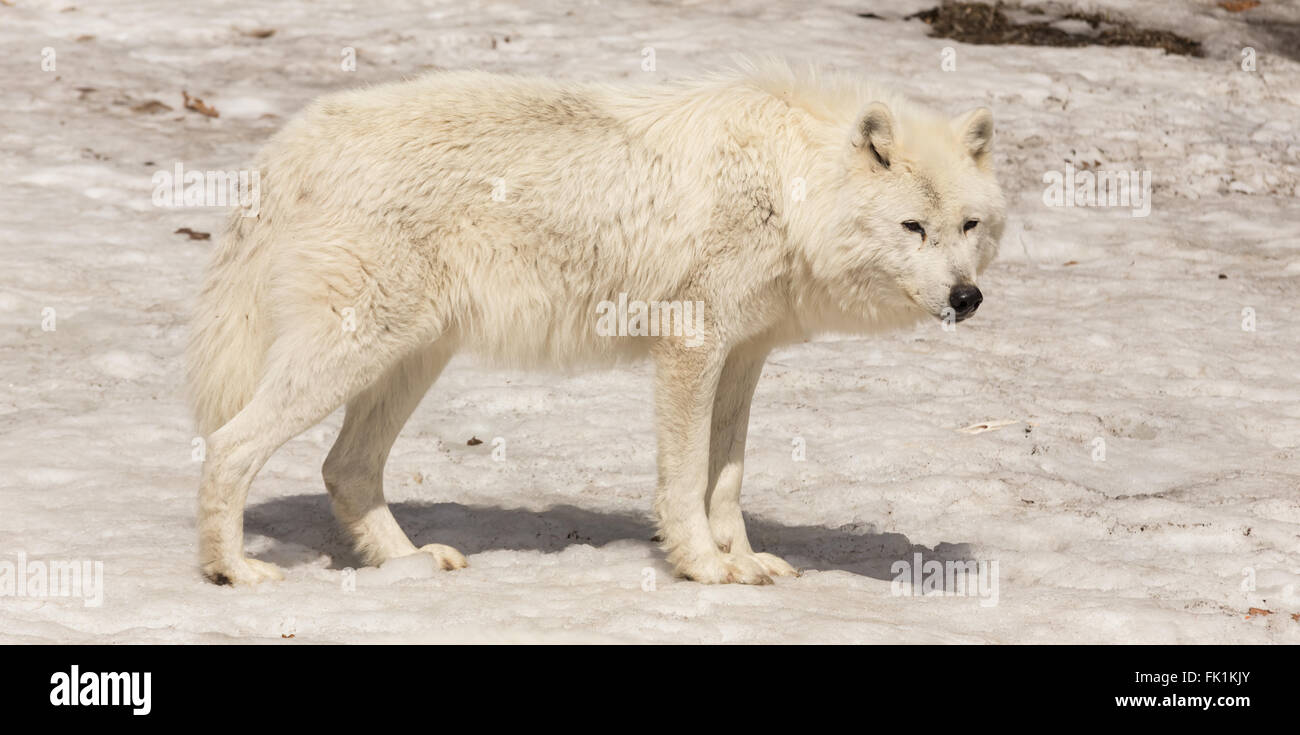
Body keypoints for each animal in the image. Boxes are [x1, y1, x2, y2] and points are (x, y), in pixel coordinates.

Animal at [187, 61, 1005, 586]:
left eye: (968, 225)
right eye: (912, 227)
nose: (967, 298)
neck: (788, 189)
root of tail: (294, 142)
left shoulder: (744, 355)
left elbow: (728, 479)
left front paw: (741, 560)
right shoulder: (692, 345)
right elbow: (685, 480)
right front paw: (703, 568)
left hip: (411, 358)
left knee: (346, 467)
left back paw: (408, 564)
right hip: (353, 354)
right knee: (228, 447)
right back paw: (235, 572)